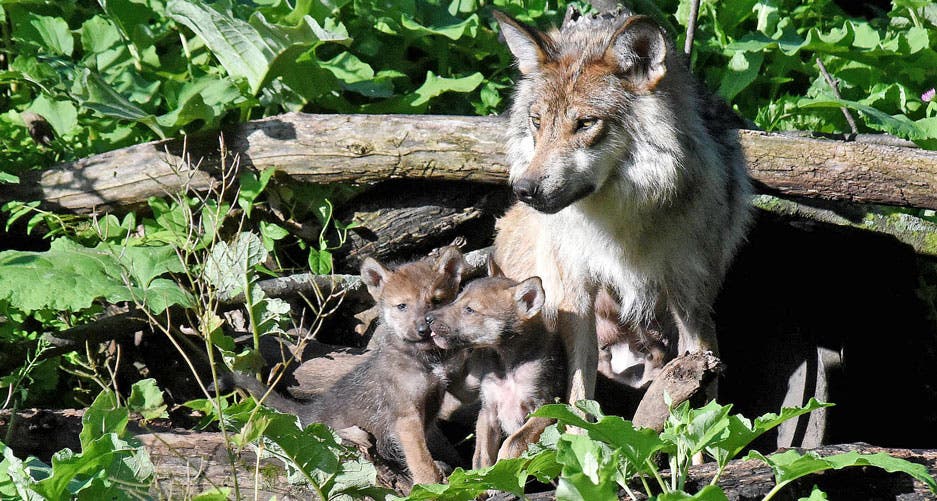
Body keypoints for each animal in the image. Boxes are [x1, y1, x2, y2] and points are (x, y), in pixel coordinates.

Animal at [224, 247, 468, 489]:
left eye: (437, 301)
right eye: (402, 306)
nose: (424, 329)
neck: (426, 361)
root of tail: (309, 411)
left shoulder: (430, 406)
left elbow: (424, 452)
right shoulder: (406, 417)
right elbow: (420, 460)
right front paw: (431, 485)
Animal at [426, 259, 565, 468]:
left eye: (470, 310)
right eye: (457, 299)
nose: (428, 319)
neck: (508, 368)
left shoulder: (544, 407)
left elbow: (513, 441)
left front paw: (505, 466)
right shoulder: (488, 411)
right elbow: (481, 456)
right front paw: (485, 476)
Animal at [491, 7, 753, 404]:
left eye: (586, 123)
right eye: (537, 122)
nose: (525, 189)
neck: (618, 225)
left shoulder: (692, 301)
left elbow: (700, 389)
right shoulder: (576, 296)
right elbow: (579, 389)